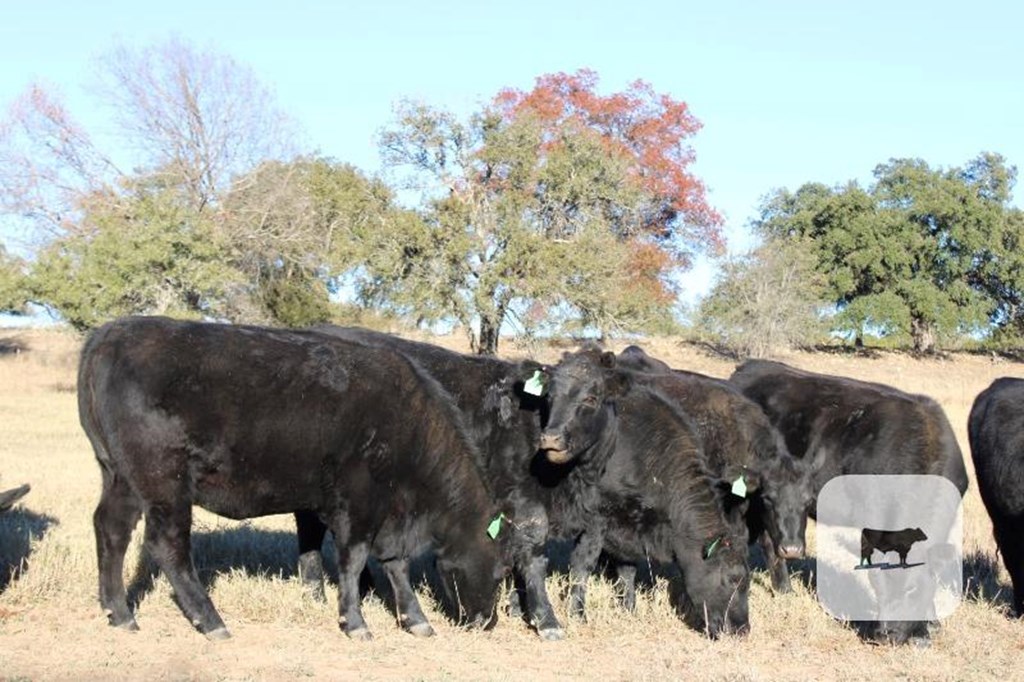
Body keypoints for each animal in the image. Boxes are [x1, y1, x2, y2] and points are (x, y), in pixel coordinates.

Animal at [78, 317, 505, 640]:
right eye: (501, 572)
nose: (490, 622)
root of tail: (111, 333)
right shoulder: (359, 501)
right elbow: (354, 560)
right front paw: (355, 623)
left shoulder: (389, 514)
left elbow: (395, 564)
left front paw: (416, 620)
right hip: (165, 481)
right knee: (168, 545)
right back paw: (211, 621)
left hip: (119, 477)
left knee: (111, 531)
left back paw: (120, 613)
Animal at [303, 326, 622, 641]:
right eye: (549, 397)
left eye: (592, 398)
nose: (551, 438)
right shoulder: (523, 501)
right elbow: (533, 557)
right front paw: (547, 620)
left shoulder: (594, 517)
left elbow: (581, 564)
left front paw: (566, 612)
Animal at [551, 349, 752, 638]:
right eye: (733, 579)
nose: (742, 629)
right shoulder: (596, 519)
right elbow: (582, 564)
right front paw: (577, 613)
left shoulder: (628, 530)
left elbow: (627, 571)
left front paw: (629, 608)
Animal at [729, 359, 968, 645]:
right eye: (876, 584)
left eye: (911, 588)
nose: (884, 634)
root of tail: (752, 366)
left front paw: (929, 624)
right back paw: (784, 588)